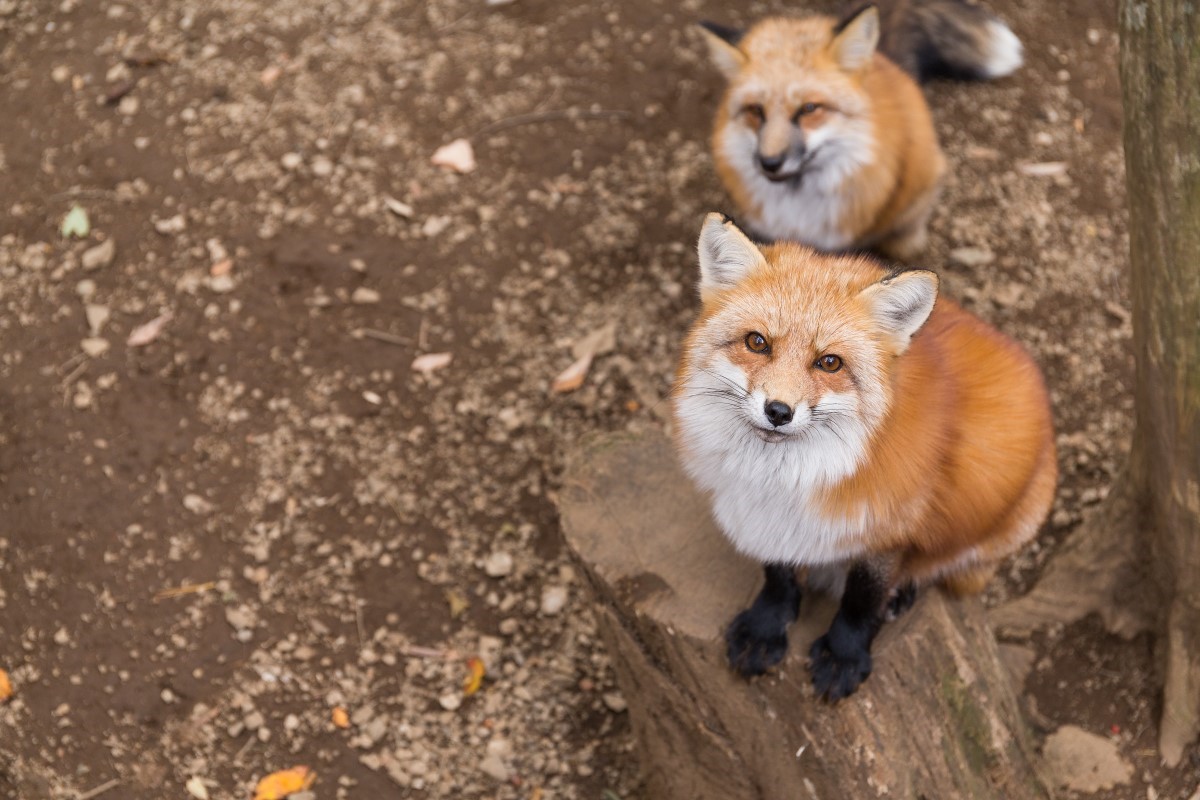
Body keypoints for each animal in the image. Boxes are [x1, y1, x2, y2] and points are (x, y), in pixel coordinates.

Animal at [672, 214, 1056, 699]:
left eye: (829, 363)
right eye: (757, 342)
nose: (778, 411)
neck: (785, 480)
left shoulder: (888, 526)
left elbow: (861, 597)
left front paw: (844, 656)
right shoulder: (768, 518)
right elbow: (777, 574)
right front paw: (765, 627)